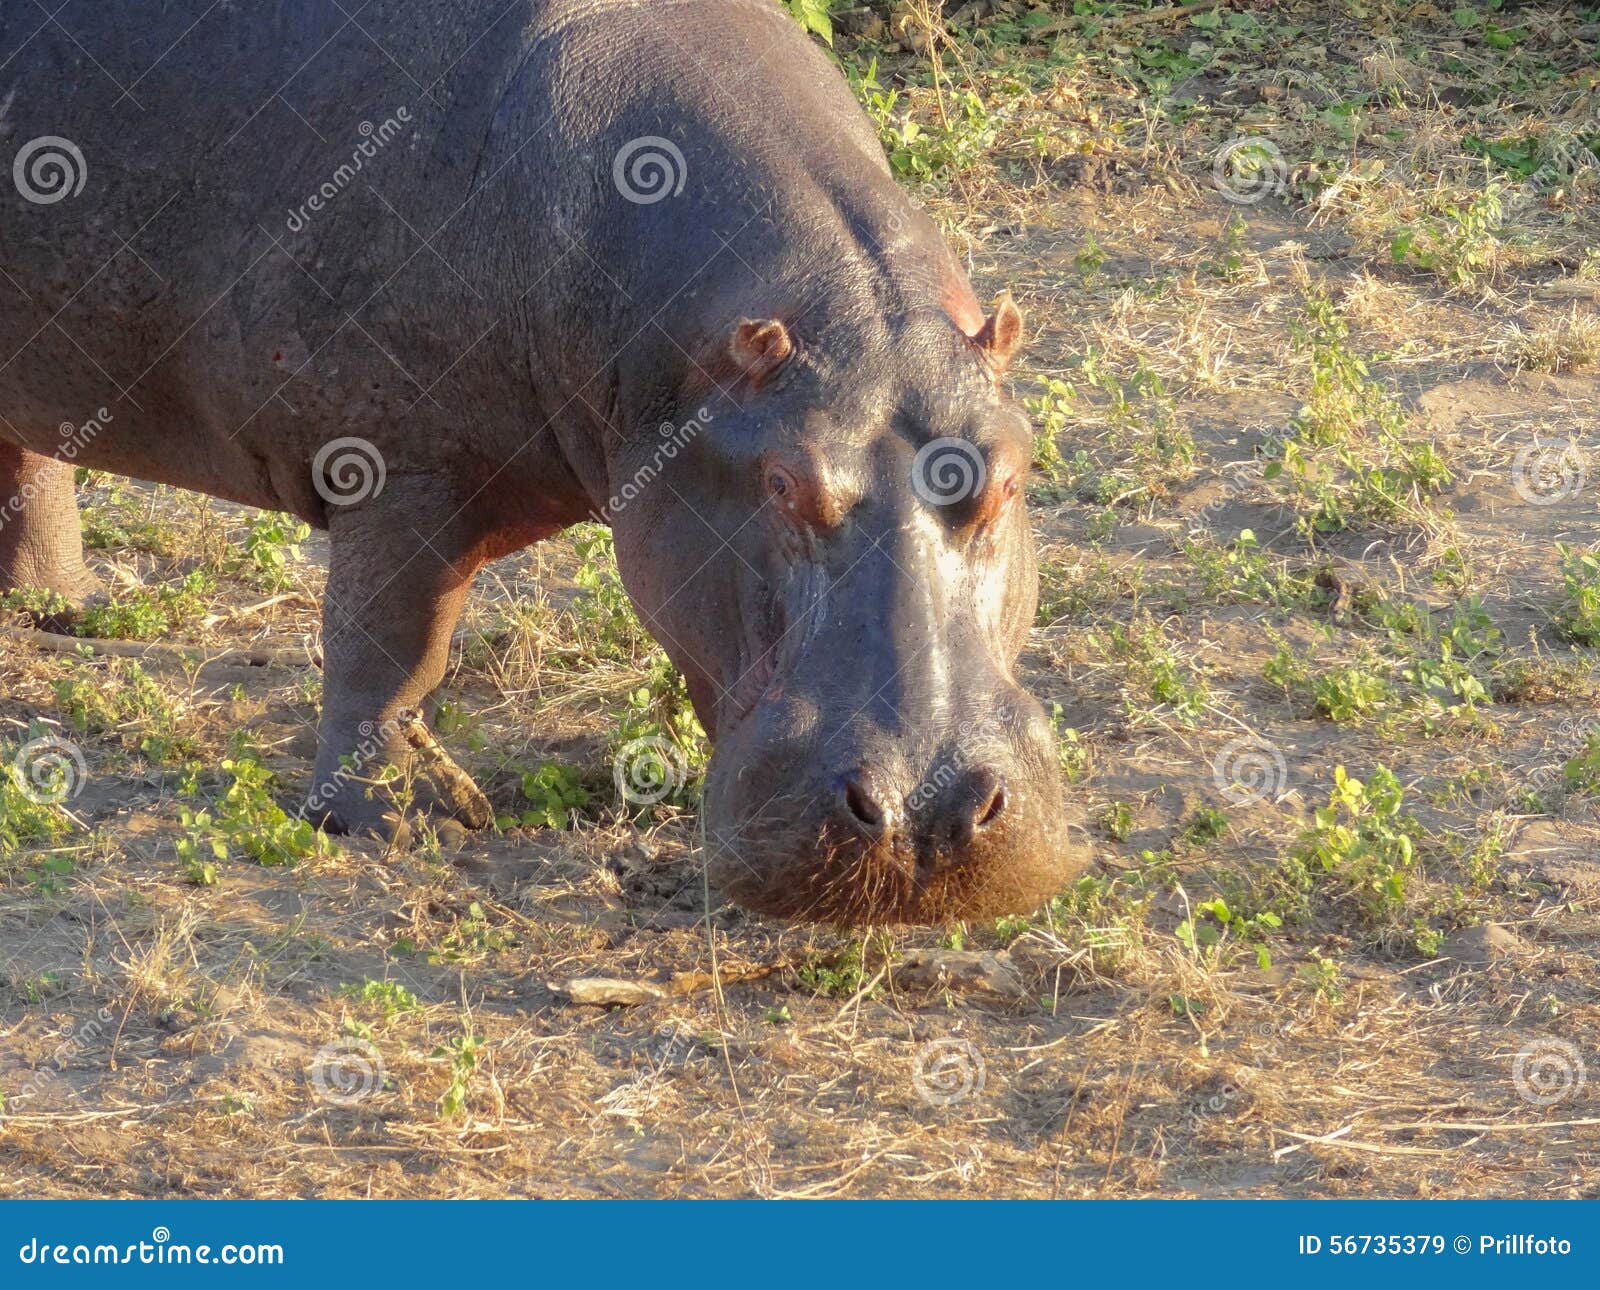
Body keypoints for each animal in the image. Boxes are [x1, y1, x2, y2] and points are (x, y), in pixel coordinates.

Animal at [0, 0, 1079, 923]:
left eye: (1010, 475)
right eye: (783, 482)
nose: (924, 814)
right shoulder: (396, 462)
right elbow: (390, 637)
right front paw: (407, 820)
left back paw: (68, 607)